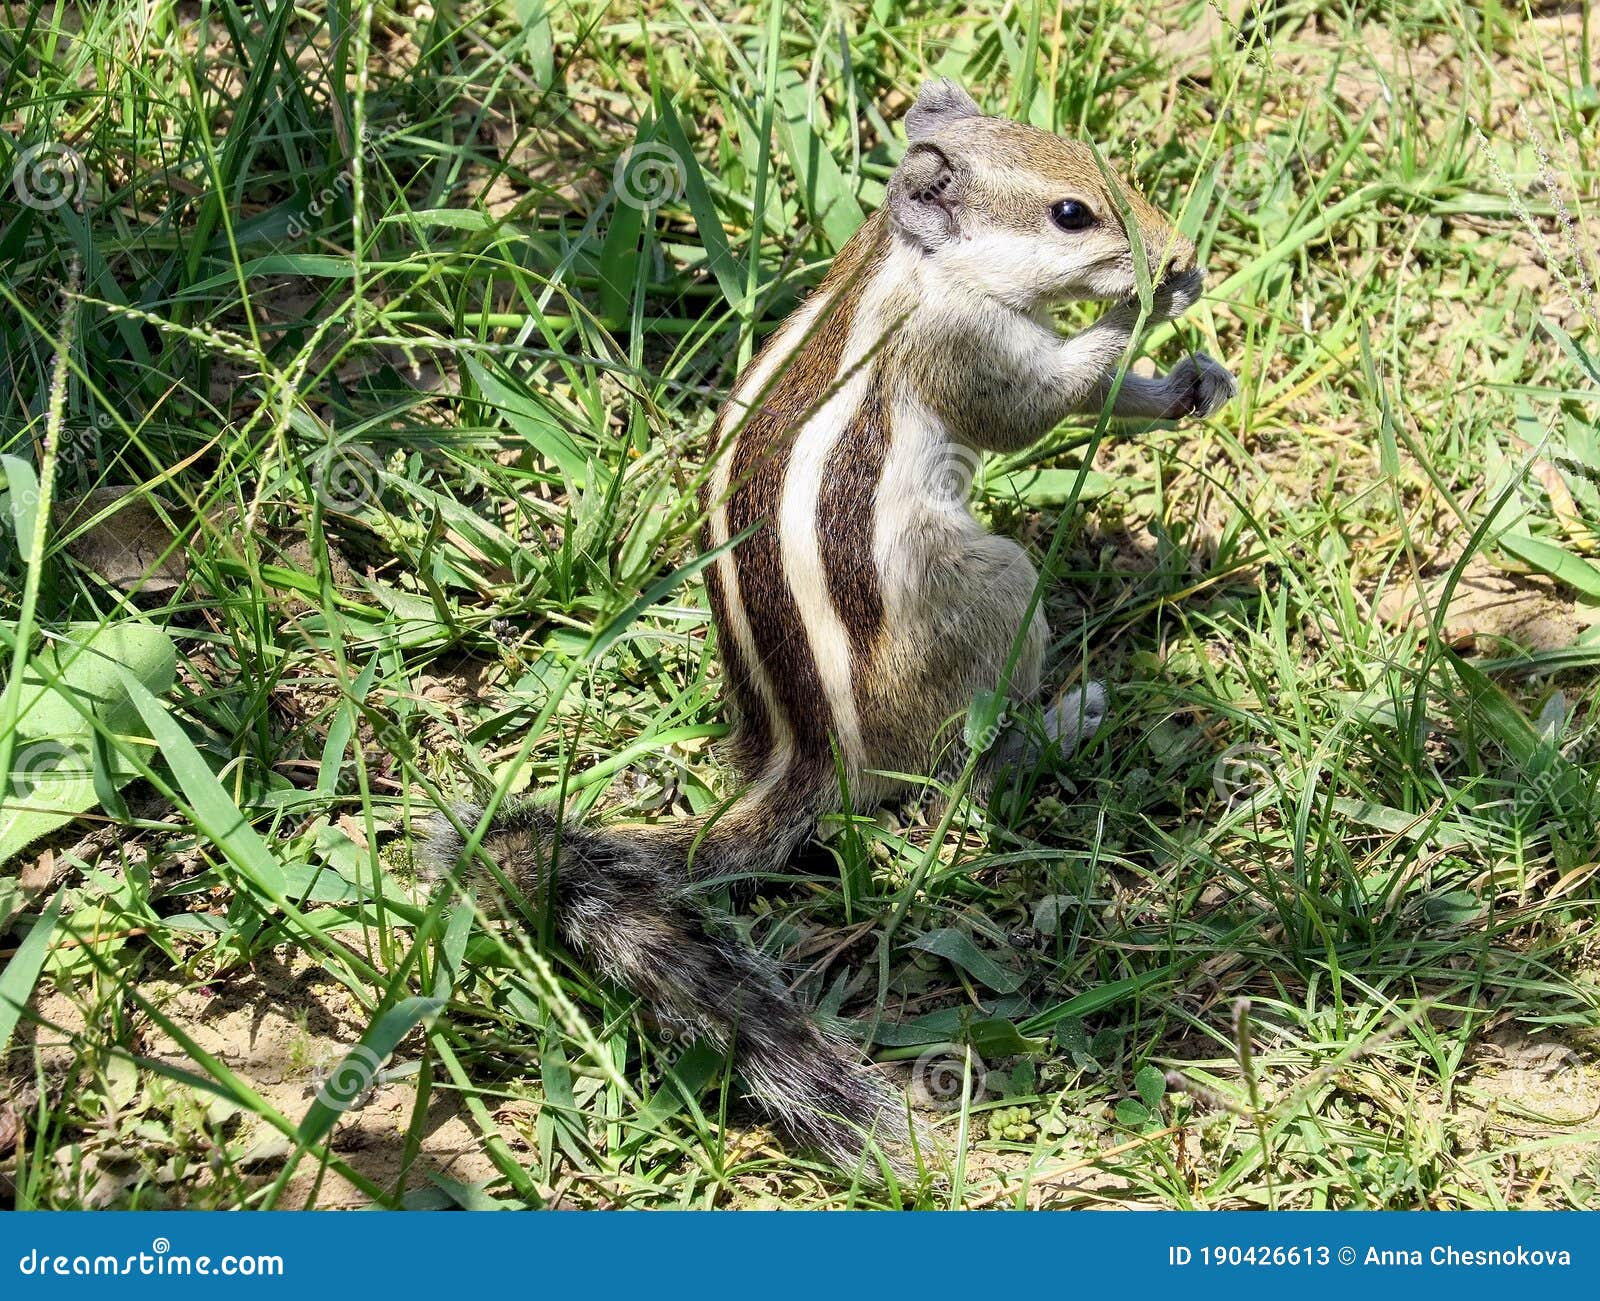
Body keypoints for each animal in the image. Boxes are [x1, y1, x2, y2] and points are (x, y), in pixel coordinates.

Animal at [422, 80, 1237, 1180]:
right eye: (1072, 213)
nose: (1184, 257)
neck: (908, 257)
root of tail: (804, 753)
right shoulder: (962, 349)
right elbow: (1043, 405)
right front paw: (1134, 311)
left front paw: (1194, 380)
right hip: (991, 596)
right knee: (963, 775)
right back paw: (1070, 720)